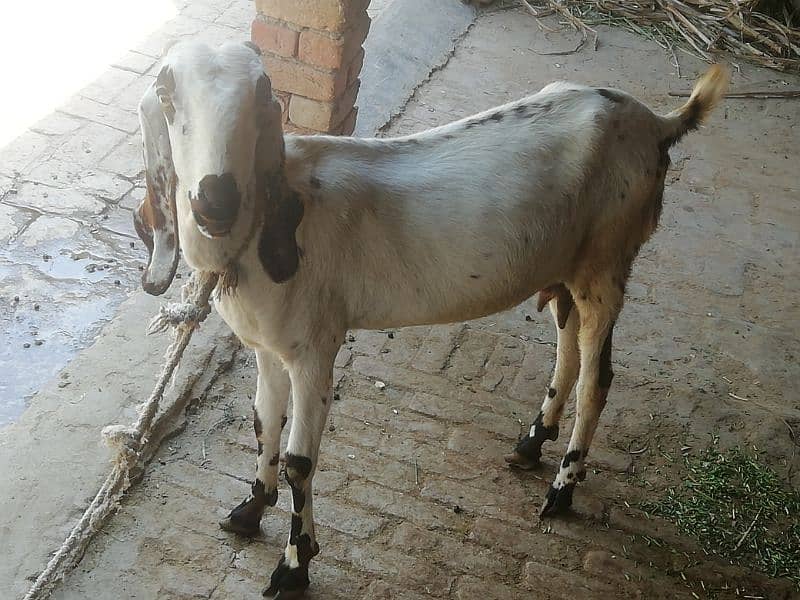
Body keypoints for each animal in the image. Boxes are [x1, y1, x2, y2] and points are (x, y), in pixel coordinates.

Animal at [134, 40, 728, 598]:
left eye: (262, 94)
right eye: (165, 94)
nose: (215, 201)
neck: (278, 222)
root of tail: (656, 123)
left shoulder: (314, 350)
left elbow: (301, 460)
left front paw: (294, 567)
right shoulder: (267, 347)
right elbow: (263, 426)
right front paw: (249, 511)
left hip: (606, 264)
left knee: (598, 379)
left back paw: (561, 490)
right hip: (565, 266)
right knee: (569, 350)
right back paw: (533, 443)